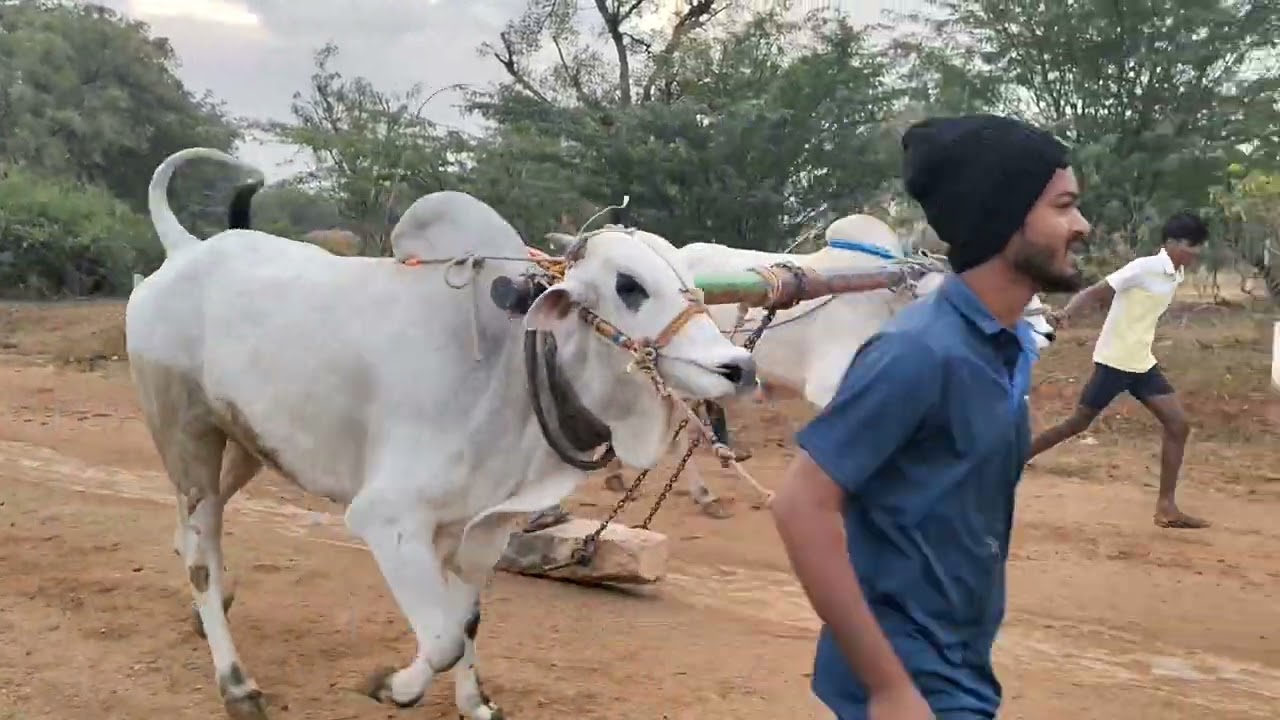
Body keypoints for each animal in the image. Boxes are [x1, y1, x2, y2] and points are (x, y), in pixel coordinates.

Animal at [125, 147, 758, 720]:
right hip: (185, 437)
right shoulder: (389, 518)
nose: (738, 368)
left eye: (693, 283)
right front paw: (392, 687)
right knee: (200, 553)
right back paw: (236, 684)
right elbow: (445, 638)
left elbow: (467, 619)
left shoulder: (482, 528)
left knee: (199, 533)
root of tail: (185, 250)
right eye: (630, 285)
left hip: (244, 443)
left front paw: (476, 704)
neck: (516, 368)